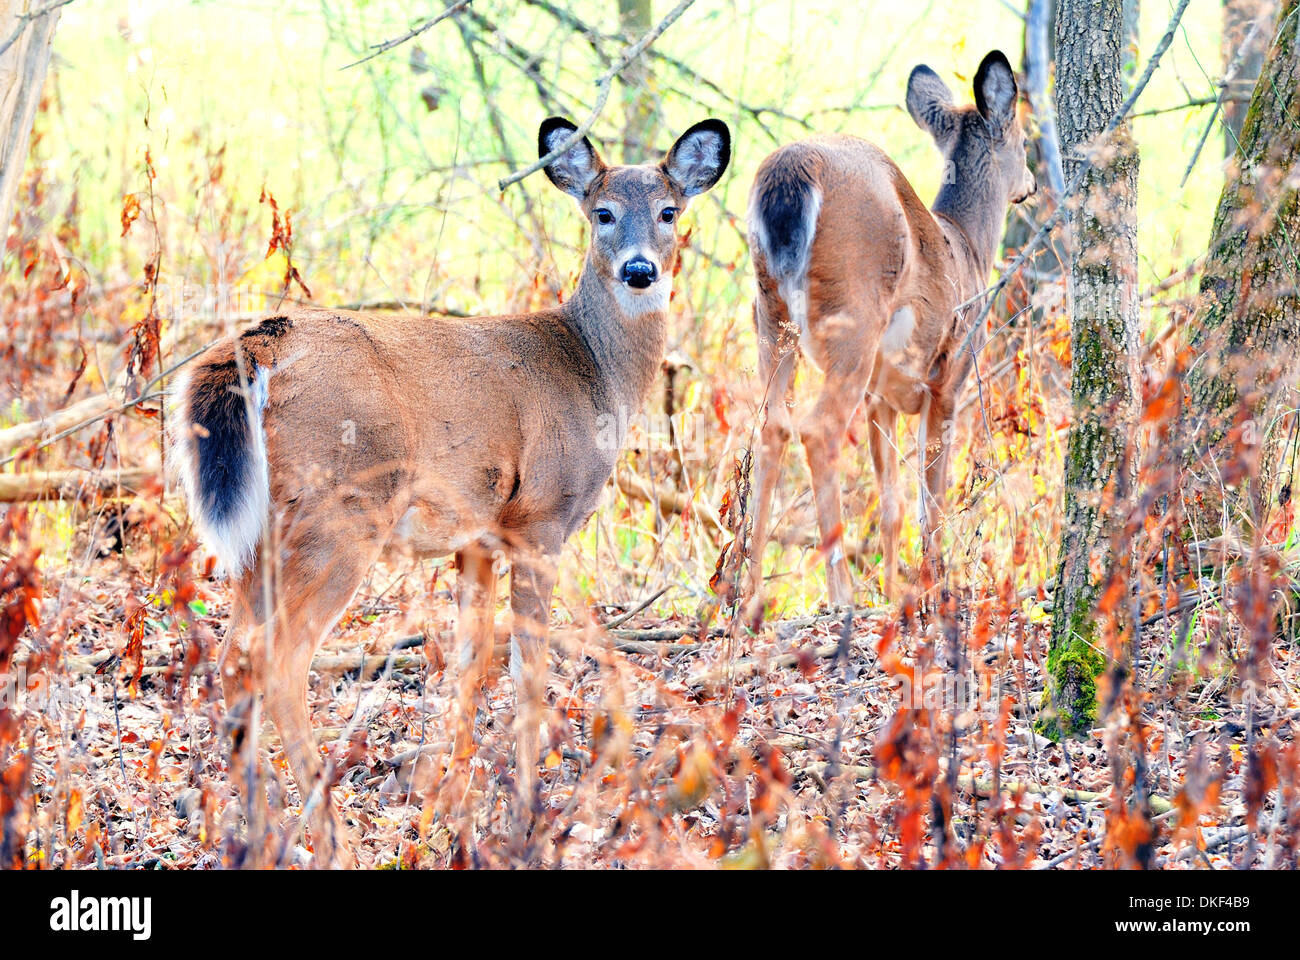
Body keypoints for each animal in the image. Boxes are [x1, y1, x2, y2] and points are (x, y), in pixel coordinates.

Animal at [167, 117, 730, 867]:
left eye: (669, 212)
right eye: (603, 213)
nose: (640, 270)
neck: (593, 371)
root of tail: (255, 350)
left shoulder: (479, 535)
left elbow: (468, 669)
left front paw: (447, 818)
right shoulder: (541, 518)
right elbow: (527, 671)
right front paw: (522, 820)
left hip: (263, 530)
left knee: (234, 658)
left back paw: (257, 836)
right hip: (340, 513)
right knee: (275, 661)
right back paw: (329, 839)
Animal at [744, 50, 1035, 613]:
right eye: (1024, 139)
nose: (1031, 184)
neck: (967, 248)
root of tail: (789, 174)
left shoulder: (882, 398)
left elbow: (891, 506)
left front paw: (897, 592)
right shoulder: (949, 377)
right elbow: (931, 501)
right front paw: (935, 590)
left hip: (769, 314)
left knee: (772, 426)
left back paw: (744, 599)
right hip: (853, 314)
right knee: (818, 429)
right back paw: (841, 595)